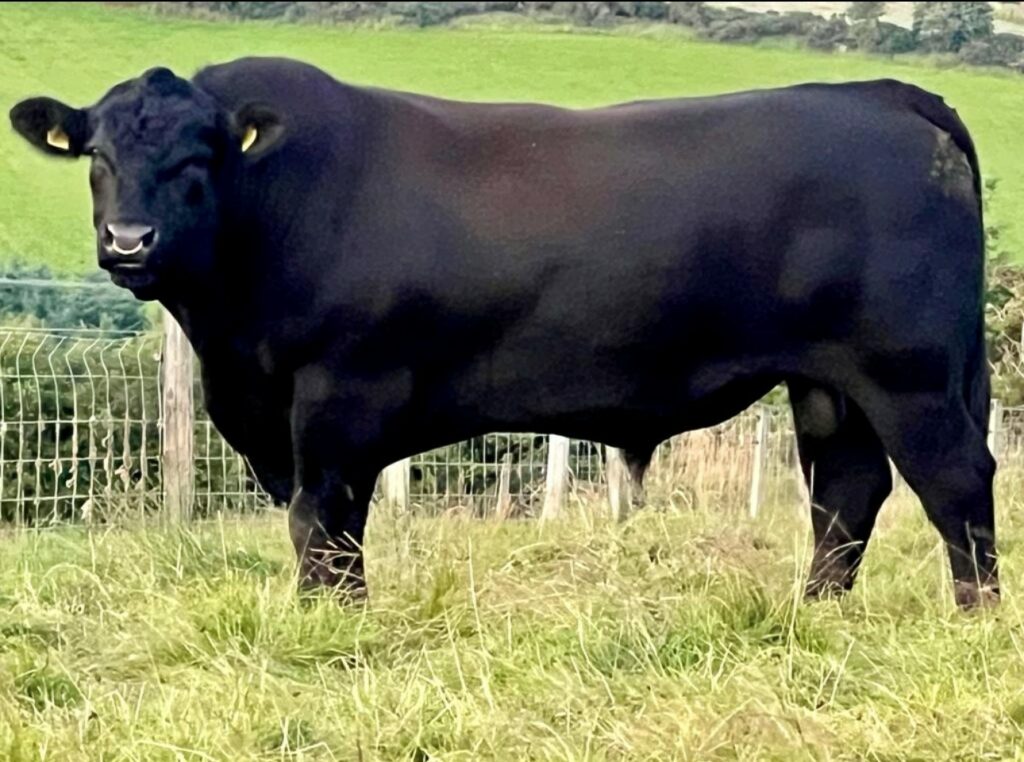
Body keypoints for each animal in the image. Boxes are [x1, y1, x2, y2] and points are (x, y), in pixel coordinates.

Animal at [10, 57, 997, 609]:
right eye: (98, 157)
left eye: (197, 158)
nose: (127, 241)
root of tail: (884, 94)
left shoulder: (338, 394)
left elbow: (324, 523)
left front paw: (330, 625)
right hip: (830, 381)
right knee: (848, 491)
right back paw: (814, 613)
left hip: (907, 370)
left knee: (955, 480)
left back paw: (976, 616)